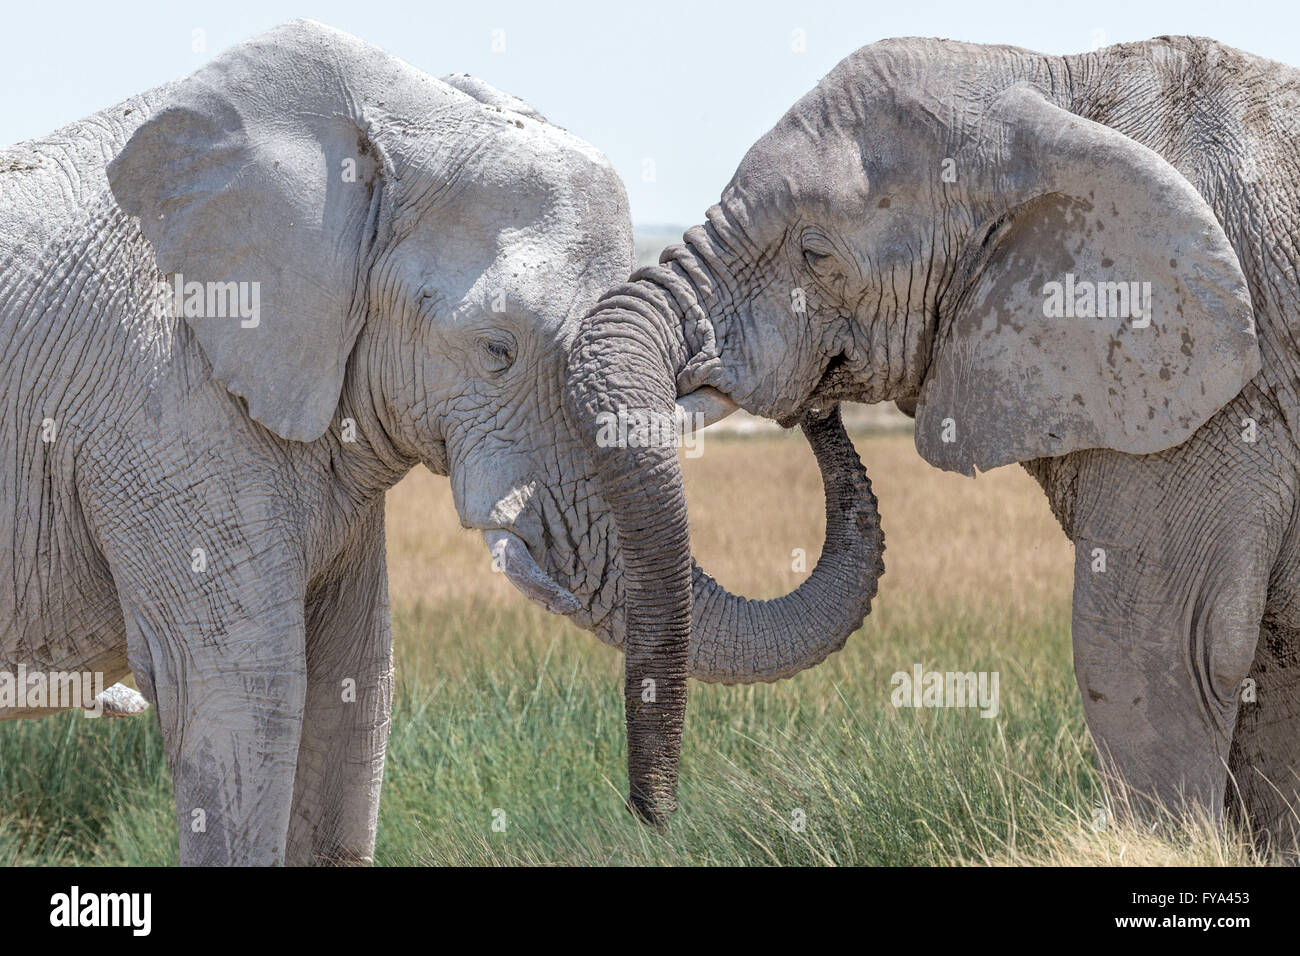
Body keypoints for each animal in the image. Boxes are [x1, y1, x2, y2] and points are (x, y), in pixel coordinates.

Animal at [566, 34, 1300, 849]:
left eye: (816, 256)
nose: (650, 814)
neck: (1051, 87)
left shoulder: (1227, 397)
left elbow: (1156, 644)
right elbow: (1260, 667)